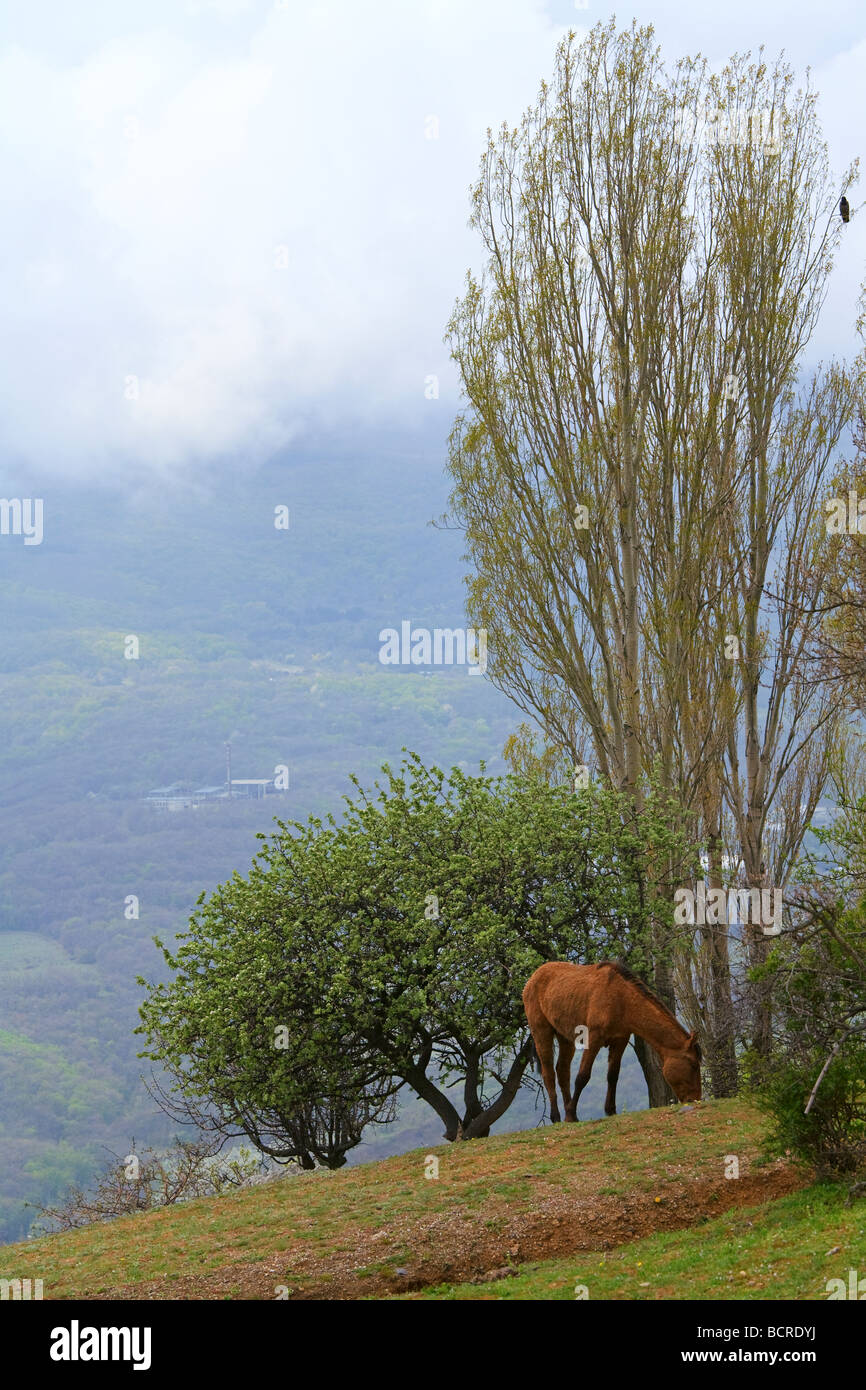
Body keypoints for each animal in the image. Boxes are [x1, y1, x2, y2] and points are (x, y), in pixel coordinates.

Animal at [522, 960, 702, 1121]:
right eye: (693, 1064)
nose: (696, 1099)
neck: (621, 999)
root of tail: (533, 977)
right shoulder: (593, 1039)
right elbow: (582, 1076)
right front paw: (572, 1114)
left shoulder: (620, 1040)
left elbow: (613, 1075)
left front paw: (610, 1110)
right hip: (541, 1032)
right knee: (549, 1073)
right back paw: (557, 1116)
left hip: (565, 1037)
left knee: (563, 1072)